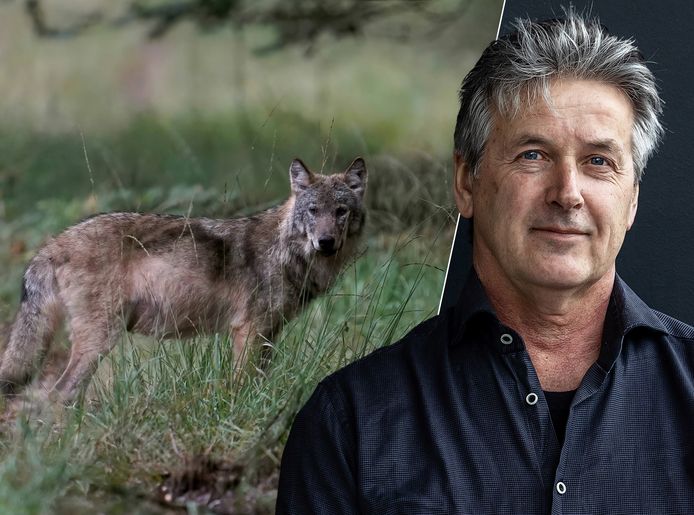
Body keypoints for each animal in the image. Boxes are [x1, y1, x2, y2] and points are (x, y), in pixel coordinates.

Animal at [0, 157, 367, 402]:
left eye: (341, 212)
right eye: (313, 211)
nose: (326, 242)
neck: (286, 251)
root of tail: (53, 243)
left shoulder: (269, 333)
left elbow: (259, 381)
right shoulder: (248, 330)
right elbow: (242, 385)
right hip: (100, 339)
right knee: (59, 394)